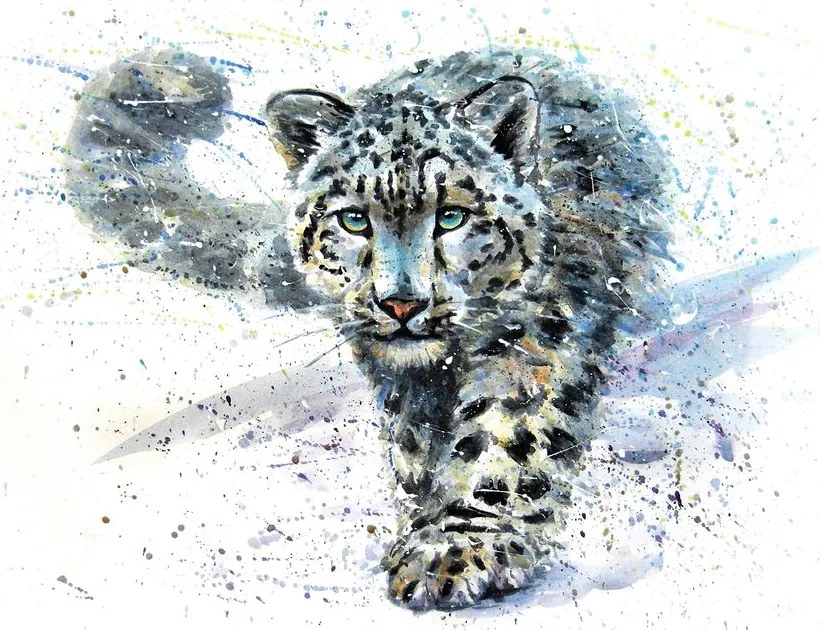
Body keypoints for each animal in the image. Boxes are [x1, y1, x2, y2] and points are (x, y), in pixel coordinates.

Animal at [64, 47, 674, 610]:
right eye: (353, 219)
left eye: (452, 215)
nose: (401, 303)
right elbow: (418, 441)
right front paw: (426, 510)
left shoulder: (531, 342)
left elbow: (506, 437)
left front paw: (454, 546)